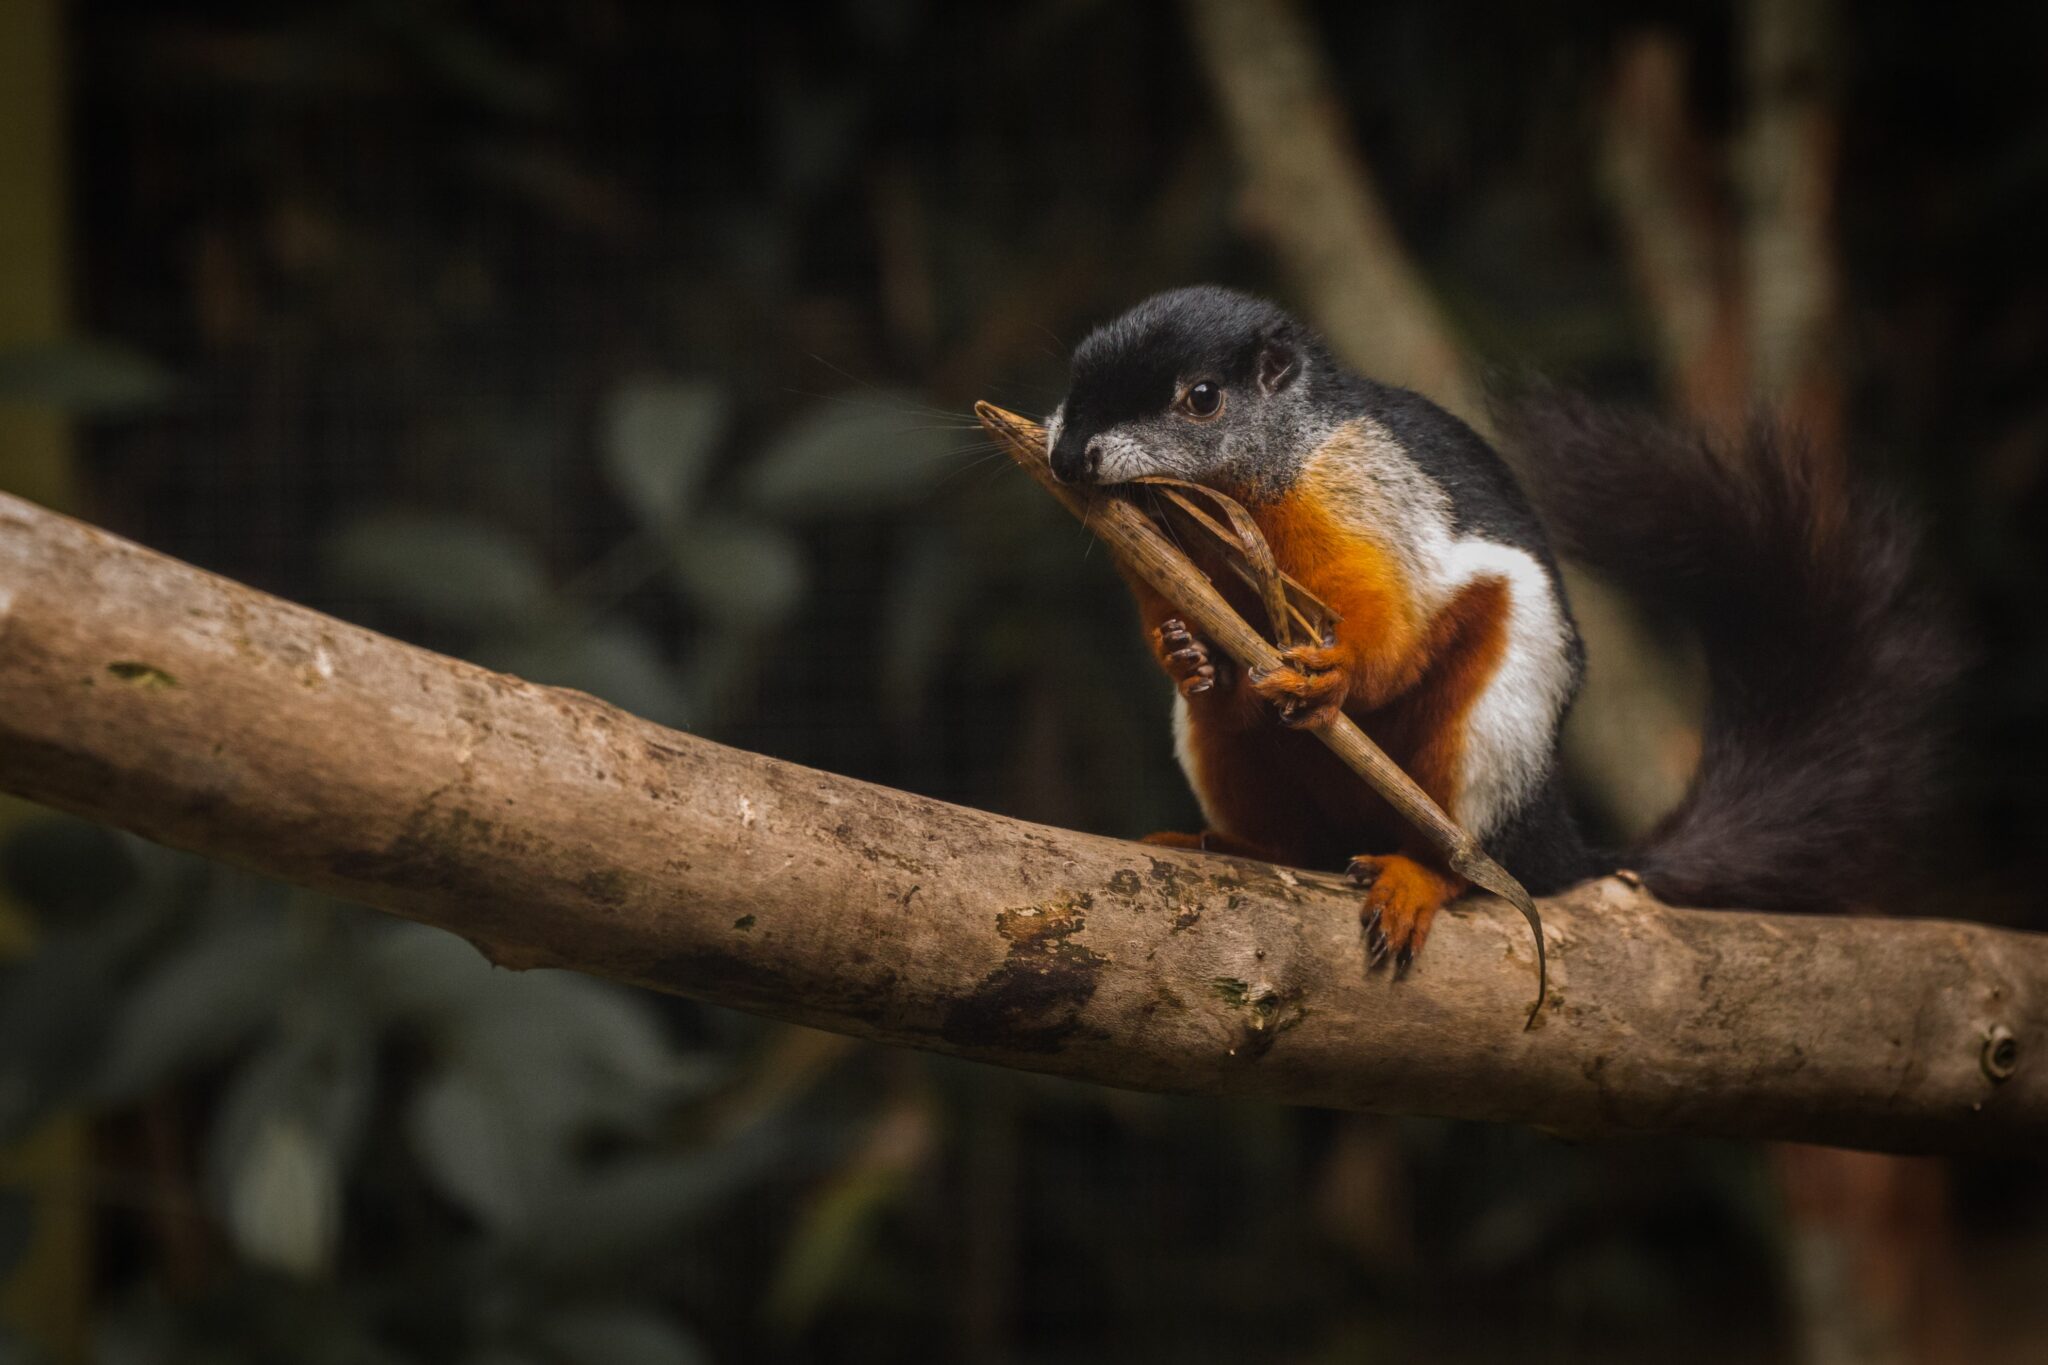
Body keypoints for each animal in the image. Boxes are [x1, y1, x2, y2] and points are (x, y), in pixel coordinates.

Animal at [1046, 285, 1957, 971]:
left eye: (1201, 399)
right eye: (1073, 379)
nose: (1066, 453)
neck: (1240, 491)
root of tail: (1566, 852)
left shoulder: (1370, 503)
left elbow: (1390, 625)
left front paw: (1334, 670)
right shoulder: (1157, 558)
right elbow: (1184, 626)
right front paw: (1190, 652)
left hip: (1493, 729)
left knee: (1478, 864)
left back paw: (1421, 877)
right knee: (1286, 830)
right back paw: (1233, 844)